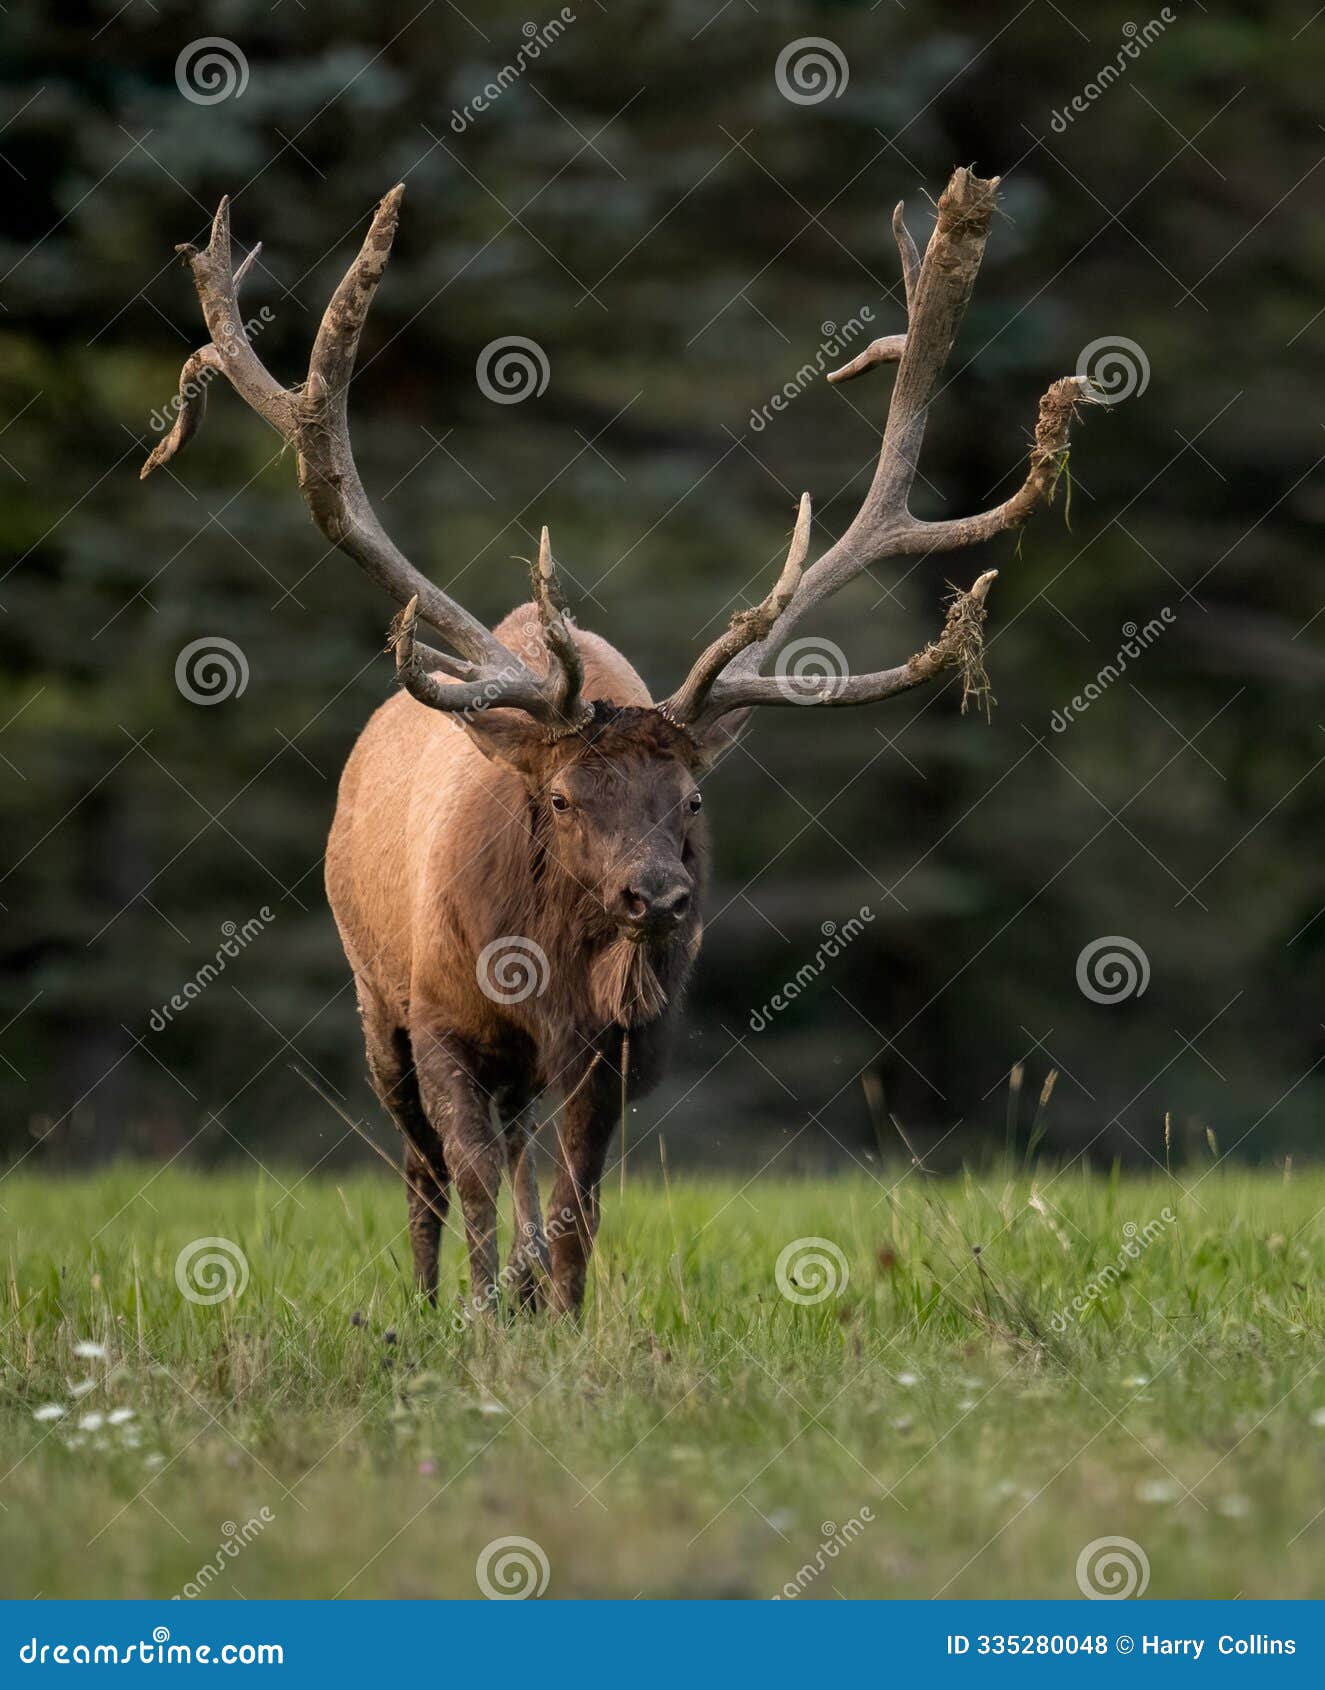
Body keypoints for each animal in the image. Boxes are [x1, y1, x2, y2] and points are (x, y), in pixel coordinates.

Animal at [141, 166, 1091, 1317]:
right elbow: (468, 1179)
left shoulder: (624, 1046)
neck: (546, 972)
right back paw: (424, 1302)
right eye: (559, 798)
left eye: (691, 798)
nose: (658, 896)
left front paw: (557, 1314)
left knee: (511, 1154)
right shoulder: (441, 1014)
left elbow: (574, 1200)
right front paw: (480, 1316)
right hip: (374, 999)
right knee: (418, 1164)